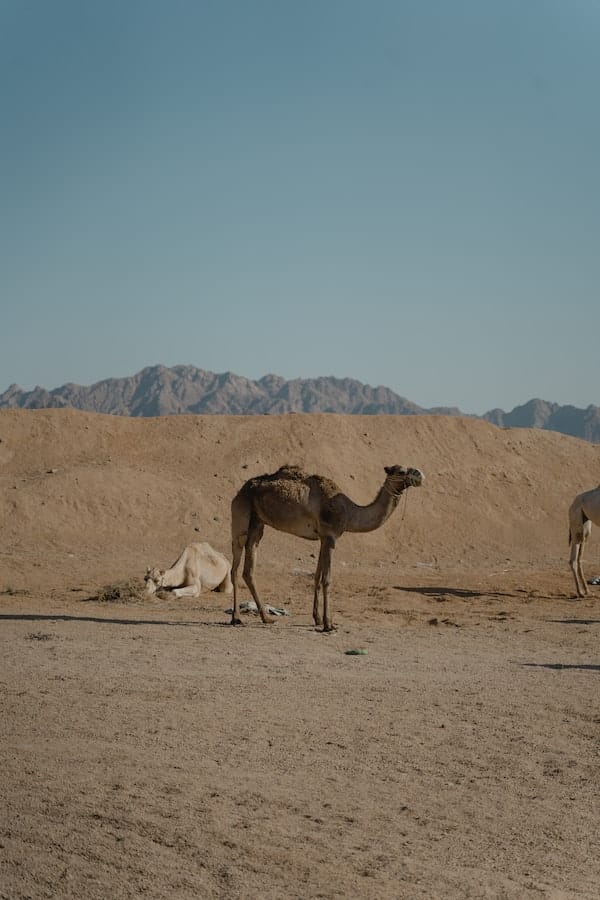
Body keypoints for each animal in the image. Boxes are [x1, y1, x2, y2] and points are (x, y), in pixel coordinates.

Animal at [230, 463, 424, 632]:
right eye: (400, 471)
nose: (420, 474)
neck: (350, 512)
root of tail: (241, 490)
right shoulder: (330, 537)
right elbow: (327, 579)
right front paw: (328, 624)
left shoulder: (323, 538)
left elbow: (317, 576)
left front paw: (317, 618)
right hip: (240, 516)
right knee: (235, 565)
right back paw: (236, 618)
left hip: (257, 523)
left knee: (249, 569)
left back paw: (266, 618)